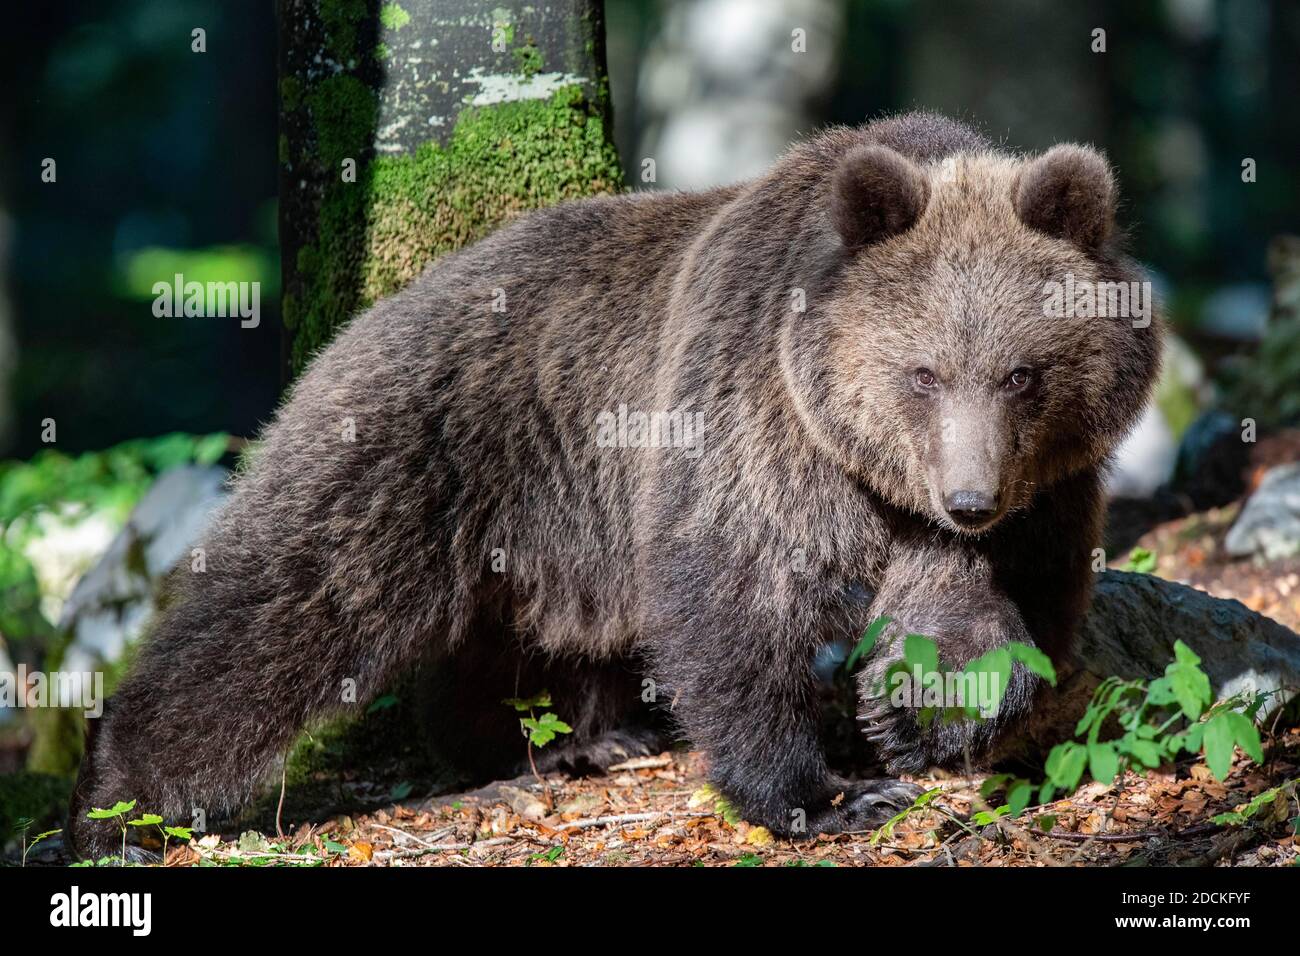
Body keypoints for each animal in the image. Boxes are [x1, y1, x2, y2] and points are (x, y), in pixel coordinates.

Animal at [67, 112, 1161, 860]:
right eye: (921, 371)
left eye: (1023, 372)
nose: (969, 497)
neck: (869, 469)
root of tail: (370, 312)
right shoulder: (758, 431)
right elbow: (736, 607)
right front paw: (823, 793)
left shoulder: (1043, 491)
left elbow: (1010, 620)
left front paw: (920, 717)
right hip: (416, 453)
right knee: (279, 610)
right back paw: (116, 804)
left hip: (543, 537)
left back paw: (573, 740)